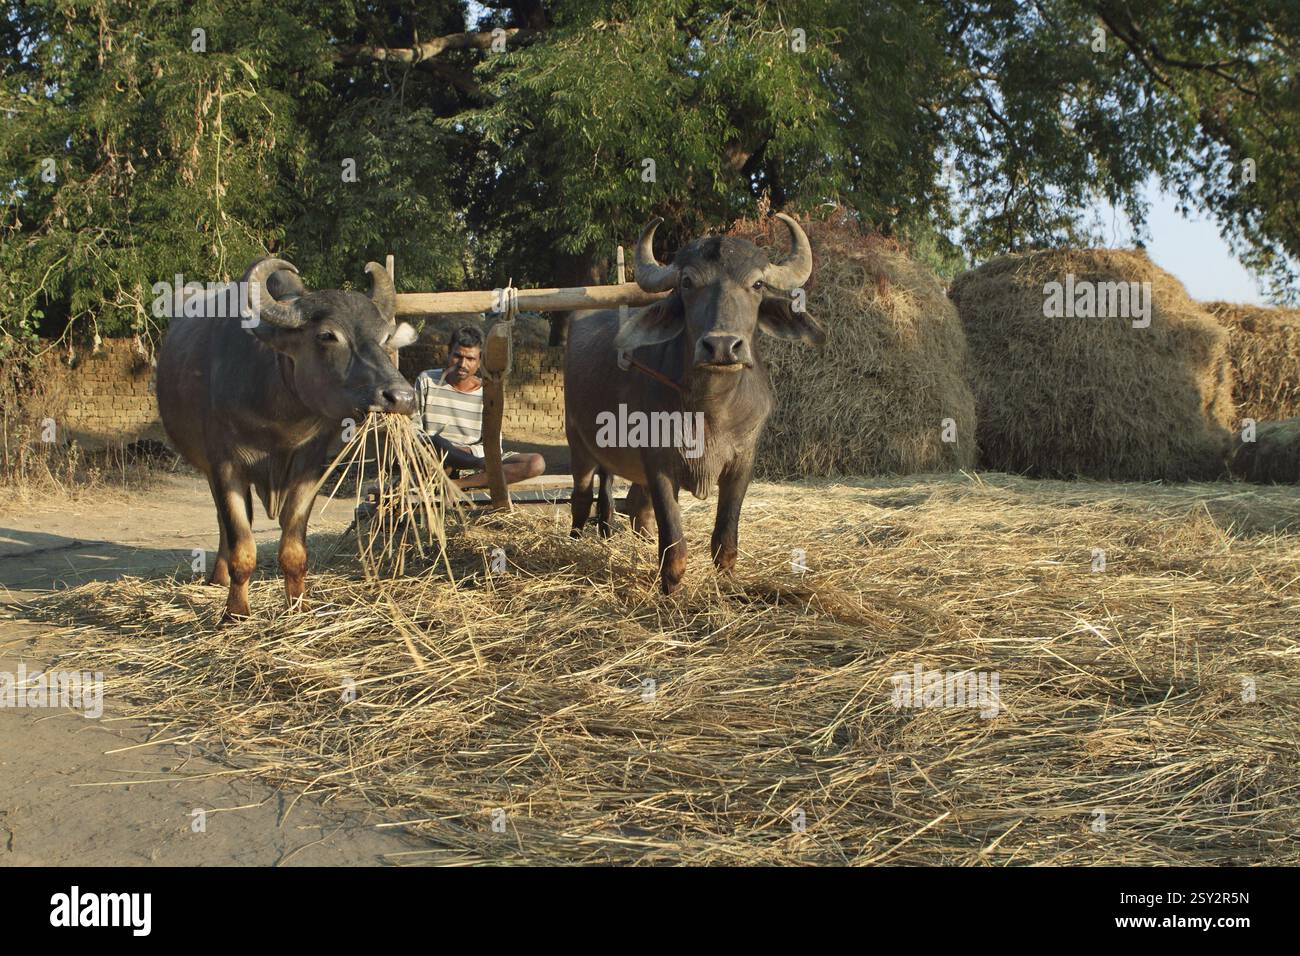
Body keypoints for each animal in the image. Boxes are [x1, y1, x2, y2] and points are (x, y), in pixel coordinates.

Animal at [564, 214, 823, 592]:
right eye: (687, 282)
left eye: (757, 283)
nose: (722, 346)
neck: (709, 409)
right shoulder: (658, 463)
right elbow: (673, 539)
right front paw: (670, 589)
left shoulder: (743, 461)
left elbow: (725, 536)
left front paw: (727, 583)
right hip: (578, 444)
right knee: (582, 499)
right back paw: (573, 542)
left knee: (635, 508)